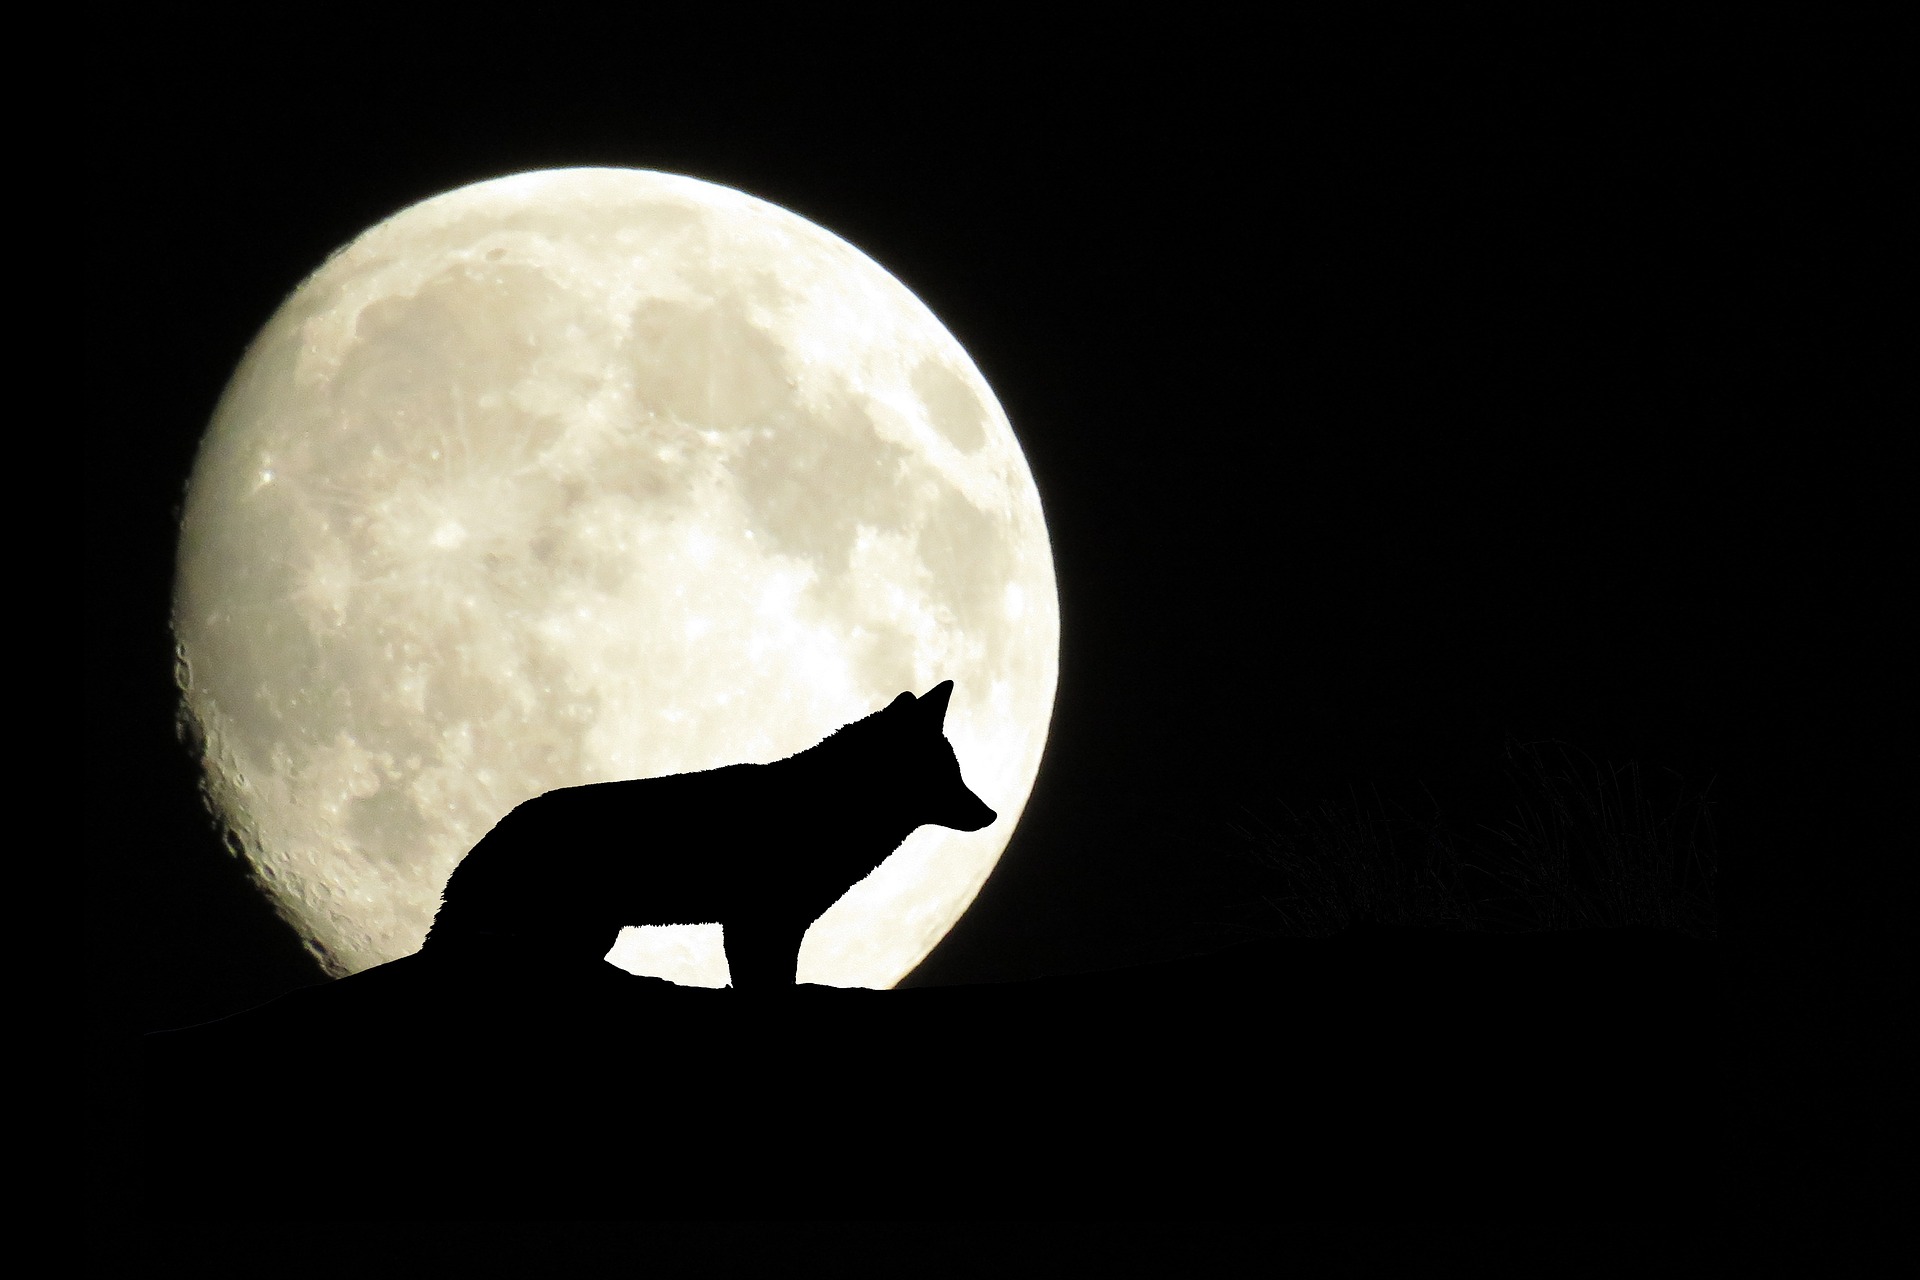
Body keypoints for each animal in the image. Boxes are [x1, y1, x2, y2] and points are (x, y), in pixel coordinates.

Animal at [424, 680, 995, 989]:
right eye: (947, 774)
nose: (990, 814)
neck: (829, 807)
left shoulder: (781, 927)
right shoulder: (754, 922)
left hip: (593, 931)